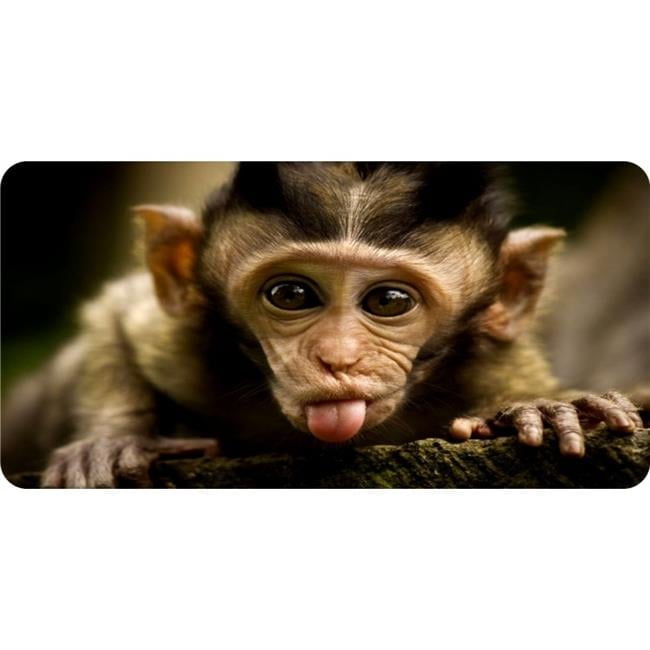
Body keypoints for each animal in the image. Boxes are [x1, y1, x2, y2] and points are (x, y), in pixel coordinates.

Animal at [1, 162, 643, 487]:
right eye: (291, 294)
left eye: (389, 301)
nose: (337, 357)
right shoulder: (184, 345)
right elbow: (116, 314)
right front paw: (112, 441)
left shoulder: (488, 359)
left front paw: (537, 408)